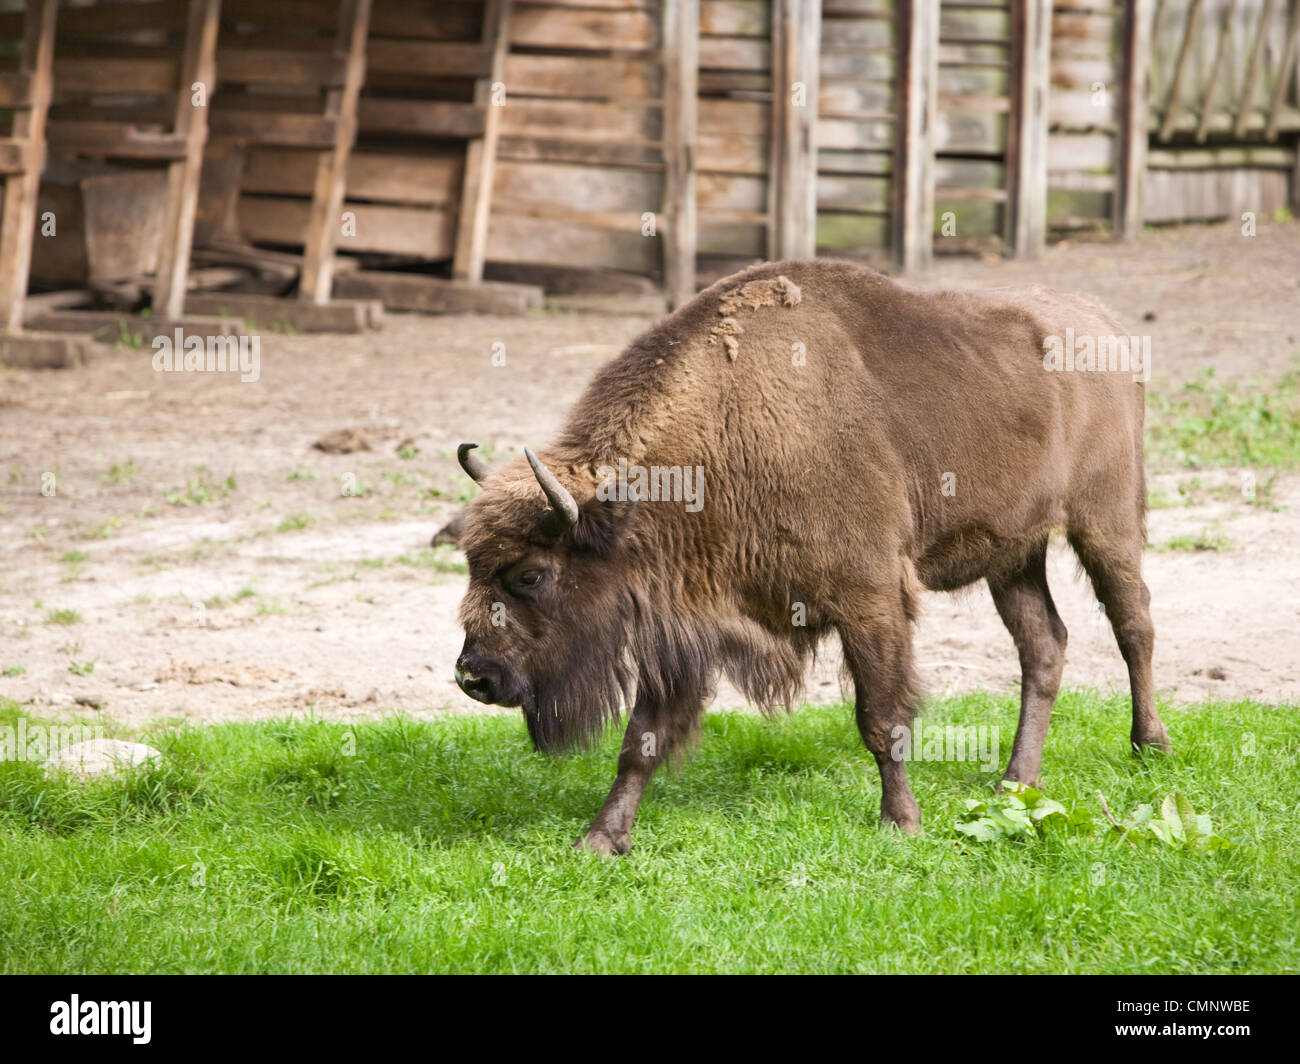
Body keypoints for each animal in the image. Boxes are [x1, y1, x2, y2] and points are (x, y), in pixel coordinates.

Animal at [451, 259, 1170, 854]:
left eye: (531, 573)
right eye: (471, 565)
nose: (473, 677)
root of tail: (1102, 323)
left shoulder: (869, 599)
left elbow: (881, 718)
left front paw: (900, 822)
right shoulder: (684, 625)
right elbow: (642, 741)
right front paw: (600, 839)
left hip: (1104, 523)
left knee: (1133, 622)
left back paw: (1150, 746)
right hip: (1013, 555)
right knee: (1043, 644)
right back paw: (1015, 783)